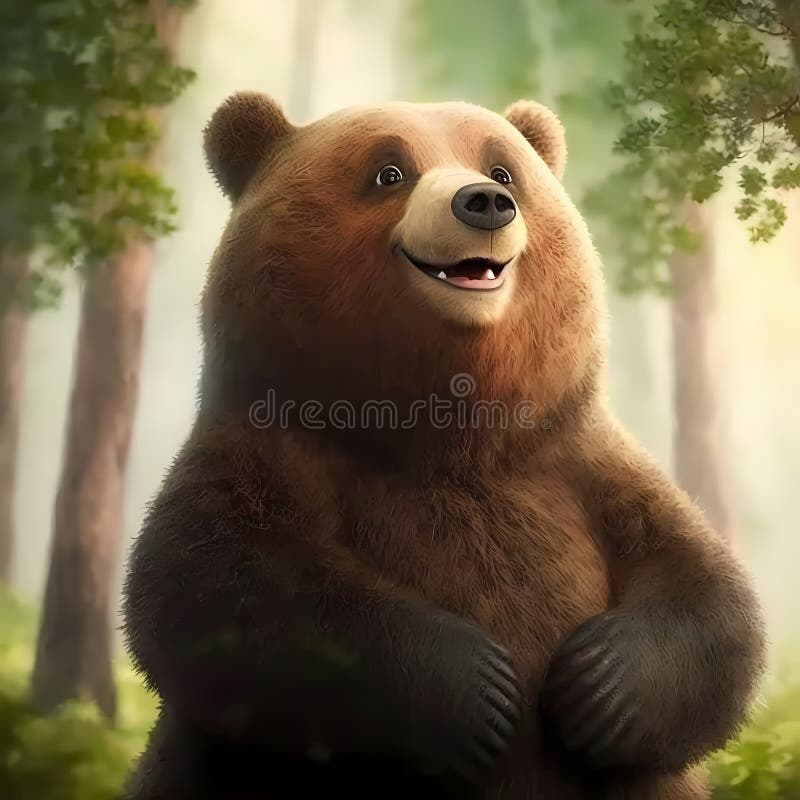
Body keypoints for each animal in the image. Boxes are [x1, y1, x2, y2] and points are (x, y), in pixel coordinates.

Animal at [122, 93, 766, 800]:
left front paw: (595, 687)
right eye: (389, 172)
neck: (447, 431)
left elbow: (704, 589)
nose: (484, 202)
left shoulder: (576, 458)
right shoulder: (273, 446)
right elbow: (220, 593)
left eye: (504, 168)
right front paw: (482, 694)